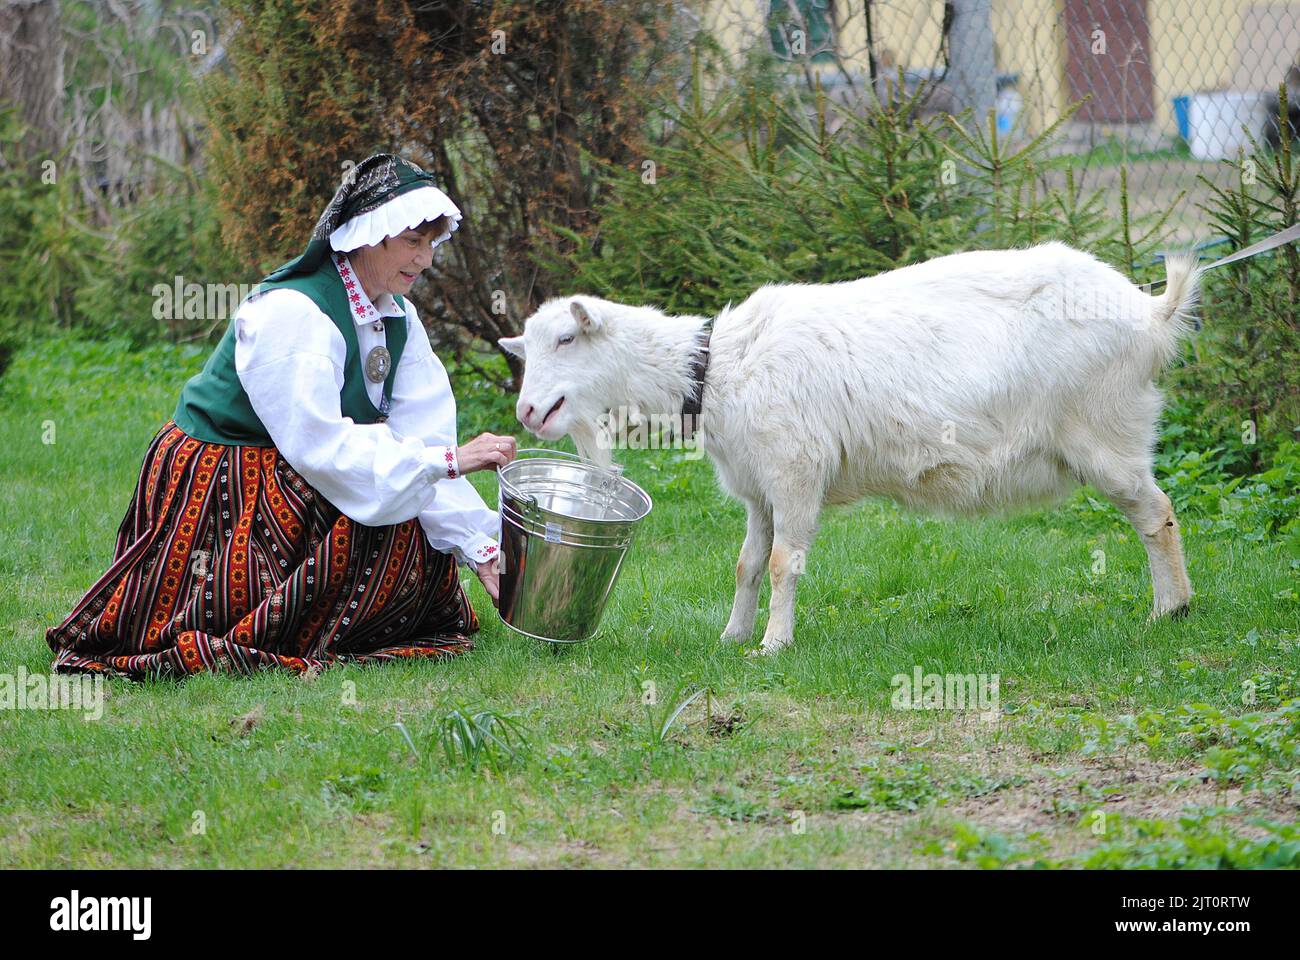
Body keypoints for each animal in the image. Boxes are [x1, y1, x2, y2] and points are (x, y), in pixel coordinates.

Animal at [500, 242, 1202, 654]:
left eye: (567, 339)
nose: (527, 411)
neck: (717, 369)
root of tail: (1151, 314)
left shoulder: (795, 471)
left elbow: (783, 564)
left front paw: (773, 645)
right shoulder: (757, 488)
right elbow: (746, 564)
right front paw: (731, 636)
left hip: (1105, 430)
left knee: (1158, 514)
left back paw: (1170, 610)